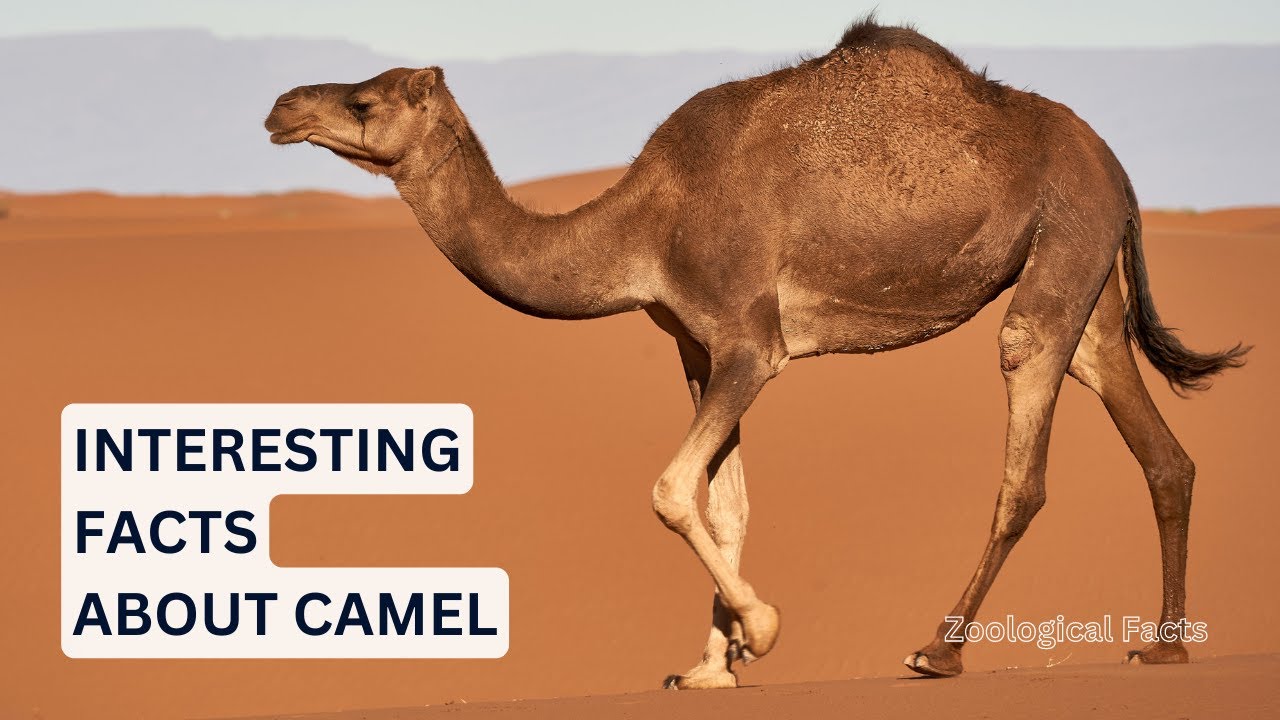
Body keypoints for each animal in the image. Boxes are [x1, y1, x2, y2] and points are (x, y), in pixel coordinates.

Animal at [264, 16, 1248, 688]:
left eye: (364, 100)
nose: (280, 106)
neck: (644, 224)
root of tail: (1116, 168)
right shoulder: (697, 349)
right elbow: (723, 501)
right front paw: (711, 665)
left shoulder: (750, 341)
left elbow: (669, 489)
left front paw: (761, 631)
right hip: (1086, 272)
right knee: (1154, 442)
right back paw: (1163, 648)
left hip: (1063, 239)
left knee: (1024, 445)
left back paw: (938, 650)